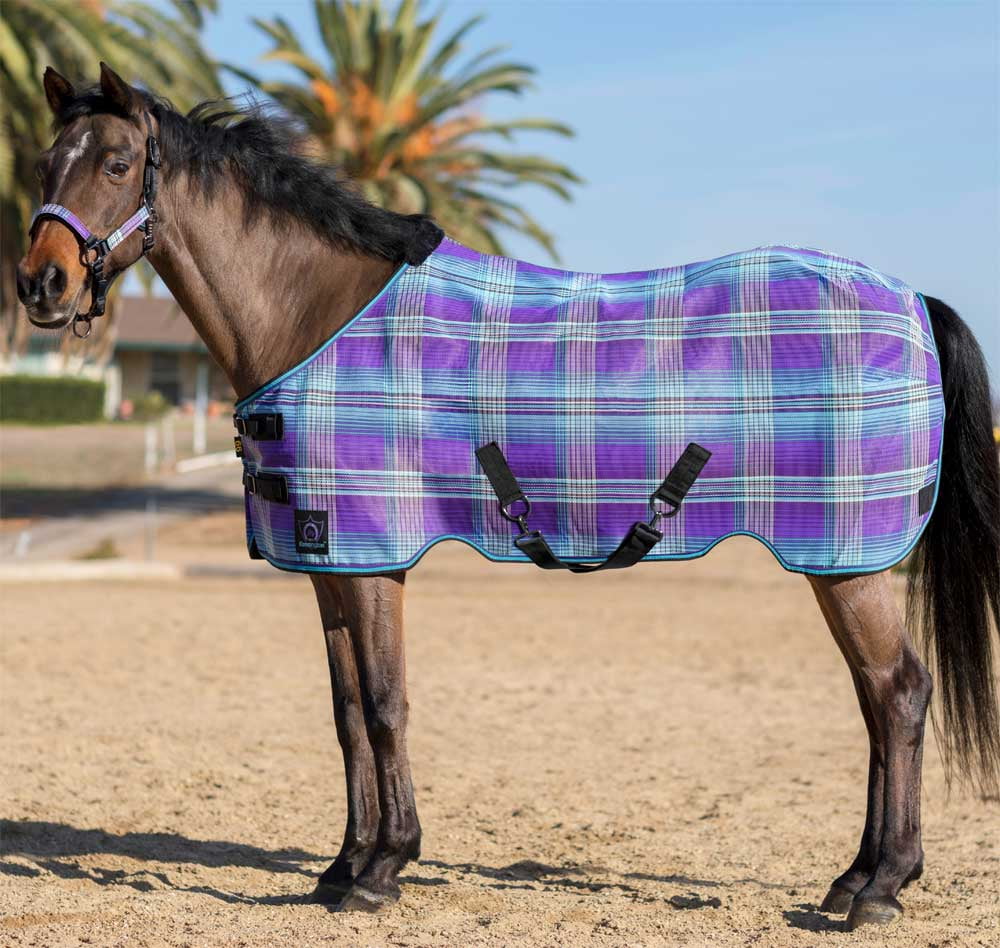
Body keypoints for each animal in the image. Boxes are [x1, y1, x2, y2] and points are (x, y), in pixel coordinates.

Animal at [16, 64, 1000, 930]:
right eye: (43, 164)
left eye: (116, 163)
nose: (41, 284)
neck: (318, 314)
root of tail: (914, 299)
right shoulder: (326, 561)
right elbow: (345, 714)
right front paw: (340, 867)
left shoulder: (376, 562)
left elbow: (386, 704)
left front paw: (383, 869)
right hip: (841, 567)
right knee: (876, 701)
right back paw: (855, 878)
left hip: (846, 562)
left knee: (899, 694)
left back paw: (881, 890)